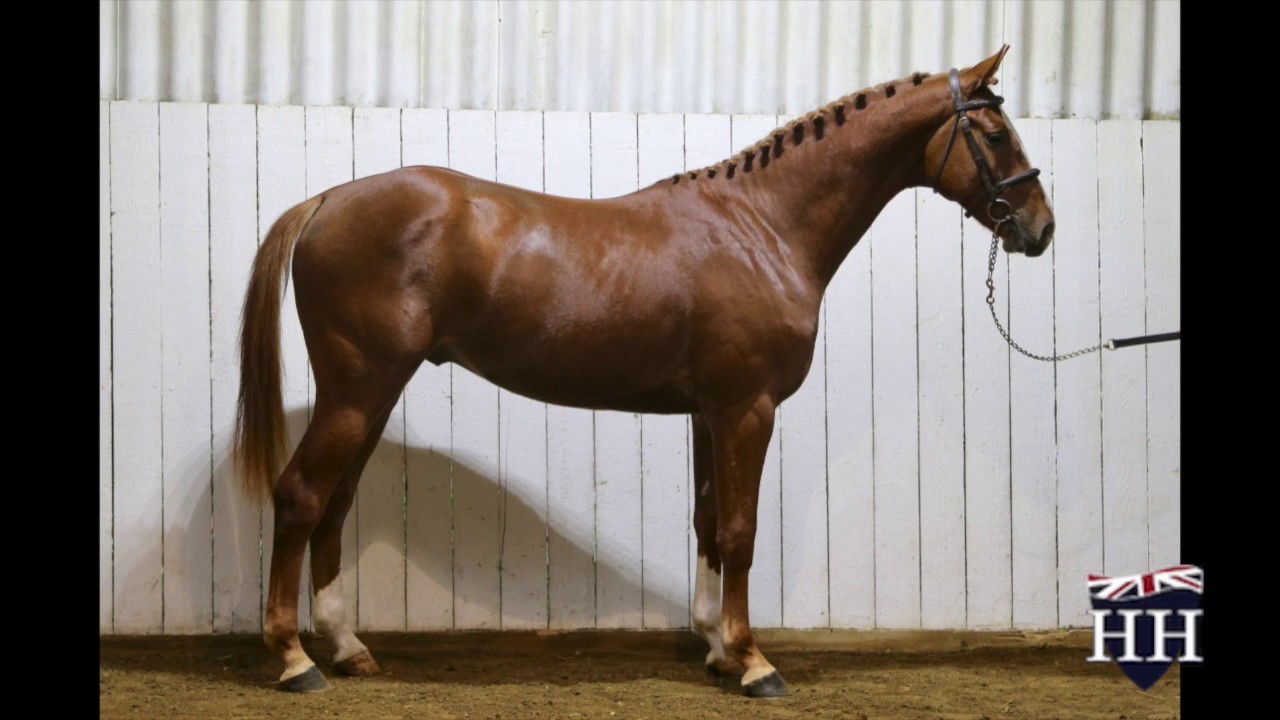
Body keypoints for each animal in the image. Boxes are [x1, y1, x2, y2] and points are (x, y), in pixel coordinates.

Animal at [235, 45, 1052, 697]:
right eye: (994, 132)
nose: (1040, 228)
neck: (762, 227)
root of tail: (325, 201)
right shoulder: (748, 408)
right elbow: (741, 528)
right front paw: (754, 663)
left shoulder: (708, 412)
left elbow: (708, 522)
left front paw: (717, 648)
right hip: (358, 390)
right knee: (301, 495)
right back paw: (294, 660)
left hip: (373, 395)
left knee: (335, 504)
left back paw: (347, 648)